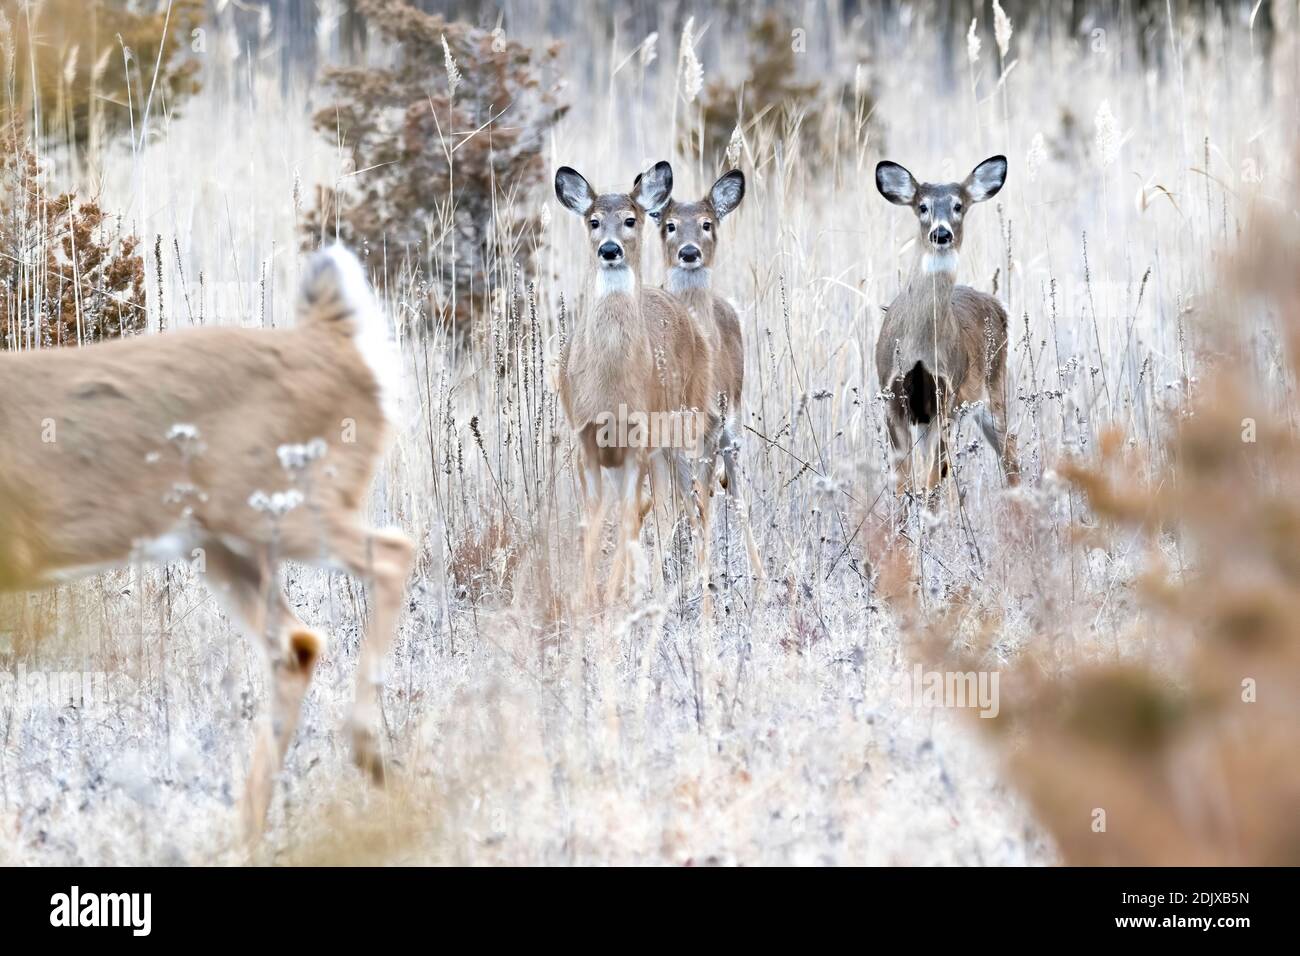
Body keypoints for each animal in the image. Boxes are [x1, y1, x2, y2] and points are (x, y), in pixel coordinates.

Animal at [0, 245, 413, 840]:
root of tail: (335, 346)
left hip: (273, 504)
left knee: (393, 555)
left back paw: (366, 753)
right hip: (222, 541)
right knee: (296, 642)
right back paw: (247, 832)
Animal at [553, 162, 715, 610]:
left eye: (630, 219)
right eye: (593, 221)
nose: (609, 250)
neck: (611, 391)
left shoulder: (637, 438)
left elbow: (628, 513)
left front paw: (611, 597)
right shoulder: (586, 436)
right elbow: (593, 517)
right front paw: (586, 597)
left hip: (686, 424)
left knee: (687, 503)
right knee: (657, 506)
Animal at [647, 167, 763, 589]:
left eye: (707, 223)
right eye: (669, 225)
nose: (689, 252)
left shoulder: (712, 427)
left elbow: (704, 505)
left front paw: (702, 576)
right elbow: (675, 504)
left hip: (733, 423)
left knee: (736, 492)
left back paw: (761, 579)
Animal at [874, 155, 1018, 507]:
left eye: (958, 205)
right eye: (922, 206)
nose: (941, 233)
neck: (918, 347)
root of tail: (998, 306)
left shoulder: (946, 395)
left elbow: (931, 485)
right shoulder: (892, 394)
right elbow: (904, 486)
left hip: (992, 387)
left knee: (1009, 452)